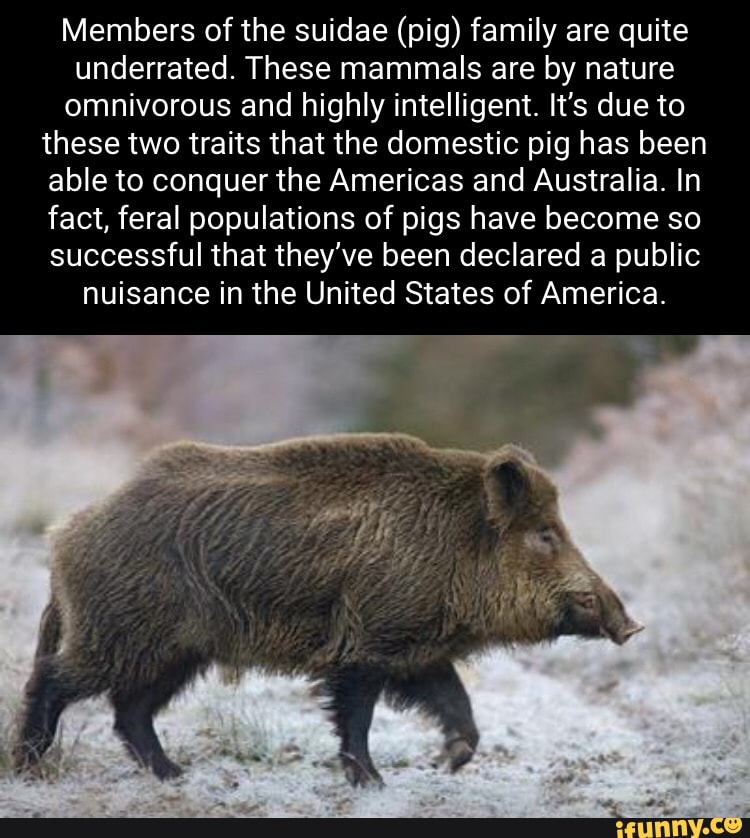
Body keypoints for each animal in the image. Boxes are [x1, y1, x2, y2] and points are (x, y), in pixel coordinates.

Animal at [14, 433, 642, 786]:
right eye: (544, 535)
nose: (631, 624)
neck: (455, 547)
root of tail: (64, 536)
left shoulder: (414, 651)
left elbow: (455, 701)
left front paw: (452, 762)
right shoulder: (367, 644)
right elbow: (357, 716)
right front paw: (373, 784)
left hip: (176, 651)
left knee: (130, 711)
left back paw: (174, 776)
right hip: (119, 634)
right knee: (54, 679)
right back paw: (28, 766)